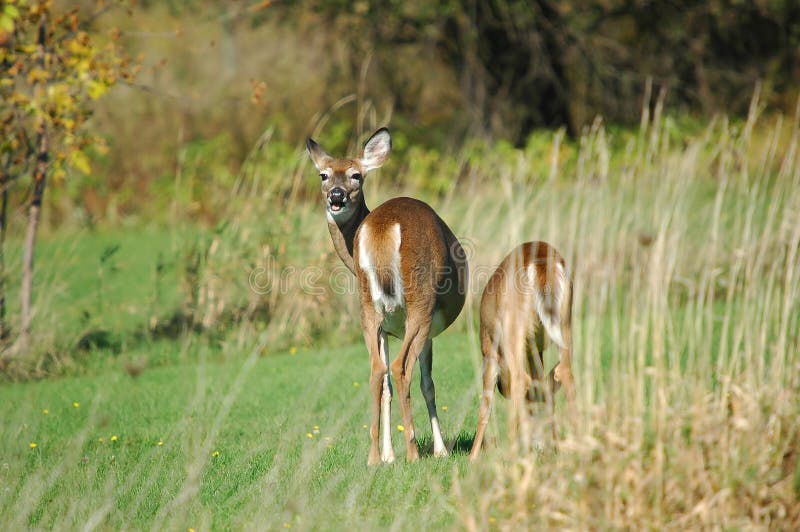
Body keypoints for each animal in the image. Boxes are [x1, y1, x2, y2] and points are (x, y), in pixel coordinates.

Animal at [306, 128, 468, 465]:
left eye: (356, 175)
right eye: (323, 174)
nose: (336, 195)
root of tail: (383, 226)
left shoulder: (385, 327)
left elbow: (387, 388)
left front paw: (388, 456)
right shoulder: (426, 329)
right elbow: (428, 383)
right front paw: (440, 450)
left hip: (367, 307)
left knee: (377, 371)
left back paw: (372, 457)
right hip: (421, 301)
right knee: (399, 368)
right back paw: (413, 452)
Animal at [469, 241, 576, 461]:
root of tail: (541, 260)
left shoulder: (490, 352)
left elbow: (485, 404)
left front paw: (472, 456)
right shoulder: (535, 351)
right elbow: (542, 387)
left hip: (513, 330)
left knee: (521, 380)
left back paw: (512, 453)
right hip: (565, 322)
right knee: (565, 372)